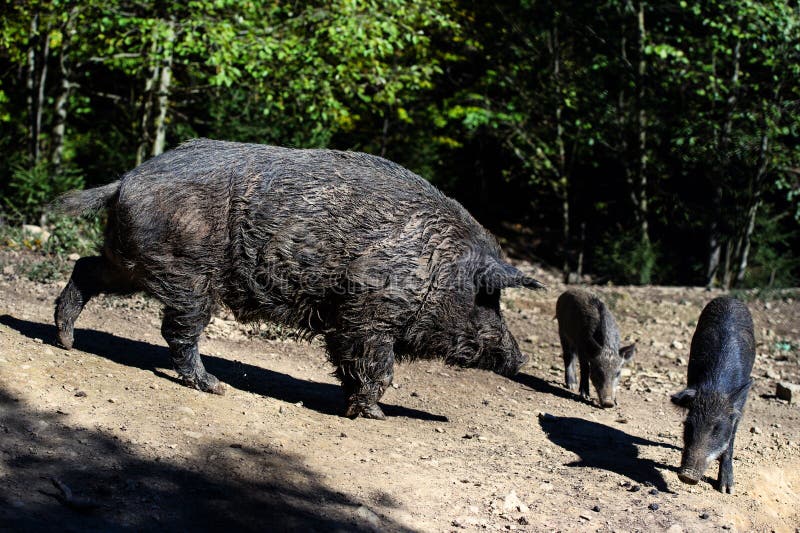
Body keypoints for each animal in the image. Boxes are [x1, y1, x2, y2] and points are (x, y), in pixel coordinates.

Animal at [54, 138, 545, 419]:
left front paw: (353, 406)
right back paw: (215, 387)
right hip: (190, 275)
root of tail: (125, 181)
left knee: (85, 268)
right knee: (179, 331)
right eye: (487, 299)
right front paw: (375, 416)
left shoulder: (348, 321)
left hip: (130, 262)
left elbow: (349, 363)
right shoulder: (369, 312)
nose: (519, 358)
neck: (434, 266)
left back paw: (66, 341)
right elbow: (379, 366)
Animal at [671, 296, 754, 493]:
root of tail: (730, 298)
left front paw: (727, 490)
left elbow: (730, 441)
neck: (715, 388)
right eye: (688, 425)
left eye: (717, 428)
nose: (687, 476)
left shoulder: (737, 409)